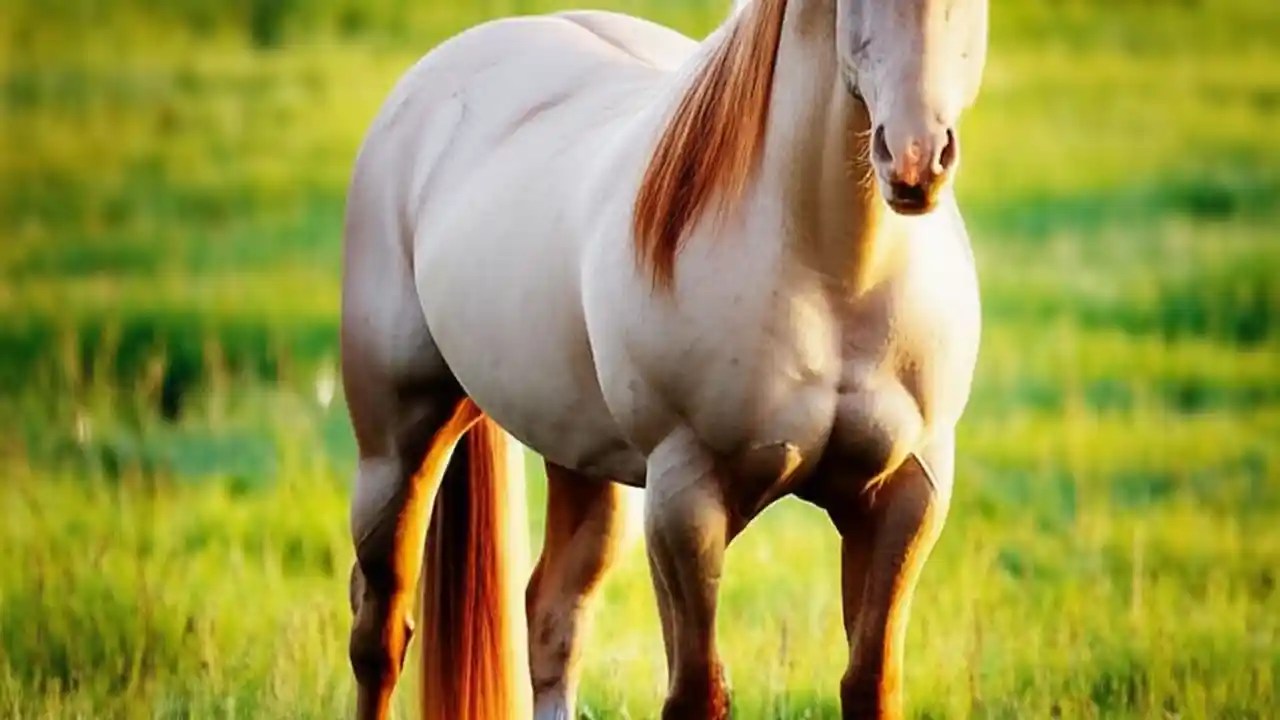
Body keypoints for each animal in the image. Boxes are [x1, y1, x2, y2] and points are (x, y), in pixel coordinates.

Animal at [340, 0, 988, 717]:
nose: (915, 160)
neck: (834, 279)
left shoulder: (908, 497)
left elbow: (870, 682)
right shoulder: (686, 498)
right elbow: (697, 690)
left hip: (581, 463)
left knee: (553, 618)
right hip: (396, 449)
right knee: (380, 632)